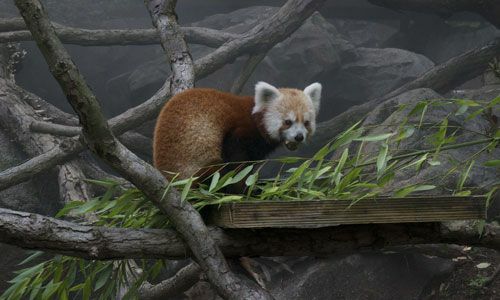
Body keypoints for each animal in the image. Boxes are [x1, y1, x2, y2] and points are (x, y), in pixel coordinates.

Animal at [154, 81, 322, 180]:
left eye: (306, 123)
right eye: (288, 122)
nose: (299, 136)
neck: (256, 120)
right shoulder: (240, 133)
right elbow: (236, 163)